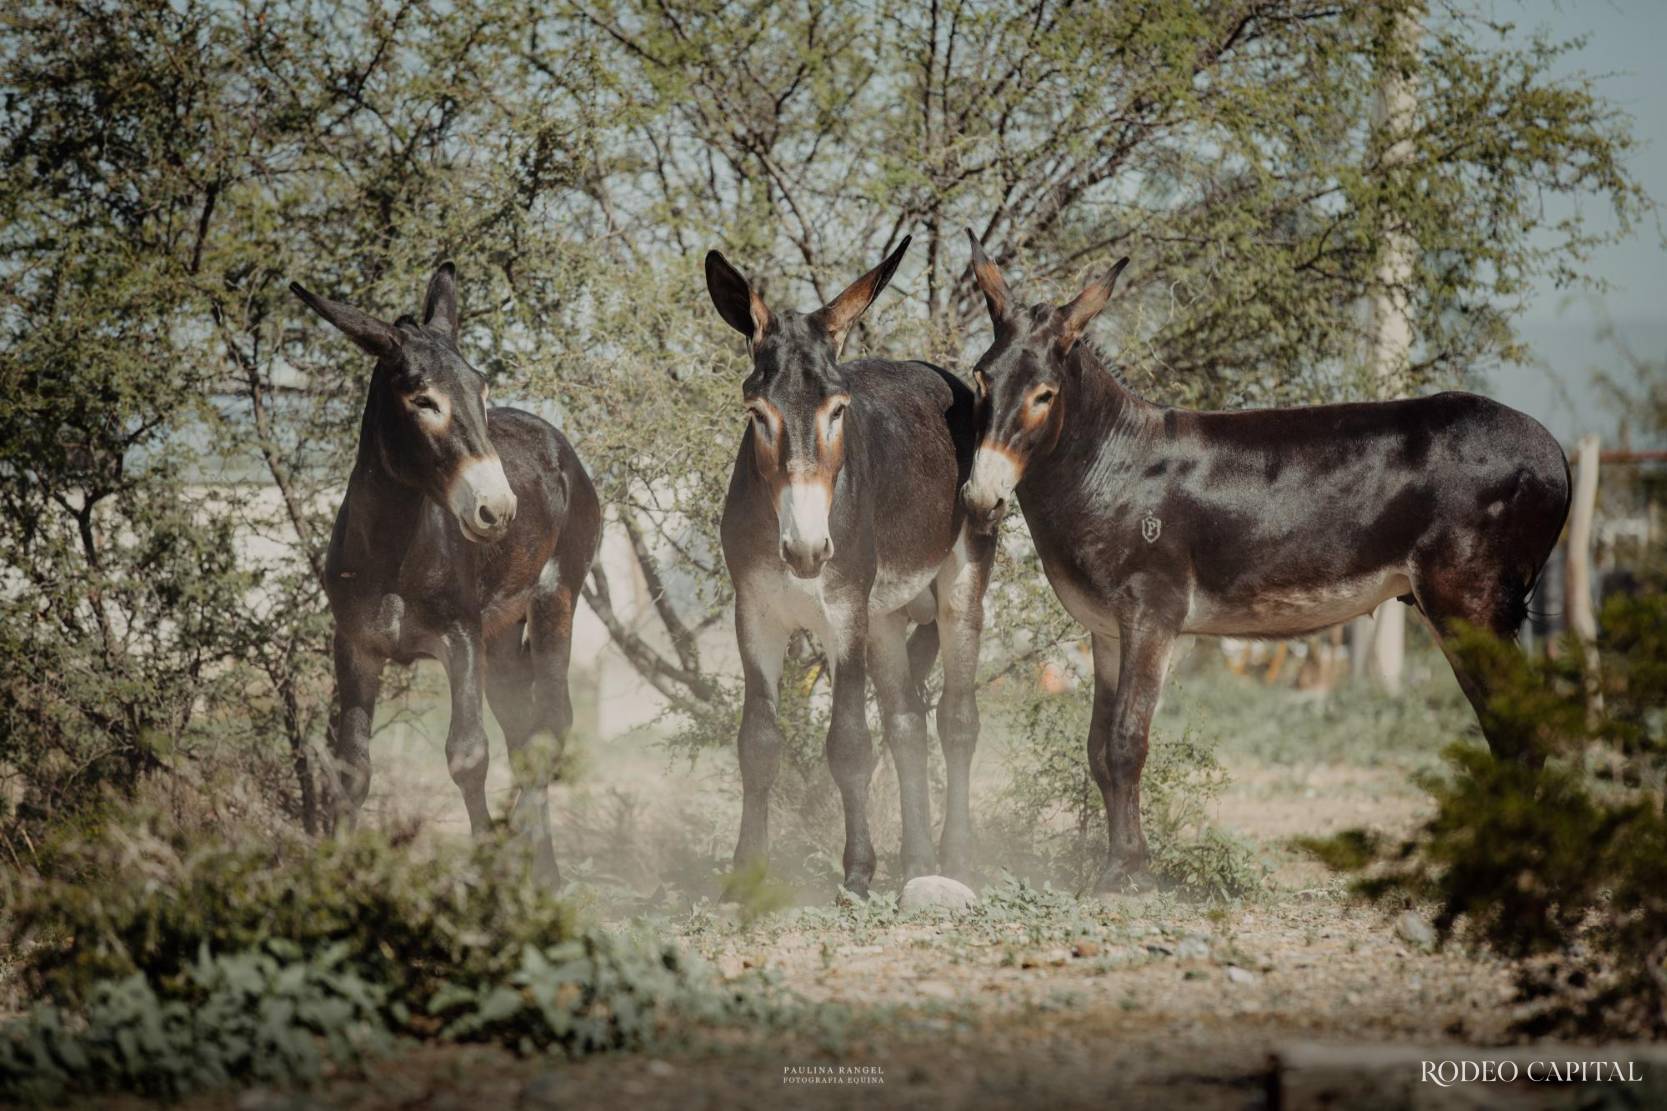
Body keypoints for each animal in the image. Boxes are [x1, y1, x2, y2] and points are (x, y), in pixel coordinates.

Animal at [289, 262, 600, 881]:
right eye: (423, 400)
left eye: (482, 388)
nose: (496, 509)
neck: (392, 553)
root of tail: (558, 440)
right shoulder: (355, 646)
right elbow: (351, 769)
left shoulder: (461, 639)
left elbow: (467, 755)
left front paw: (486, 869)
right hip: (503, 638)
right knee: (525, 734)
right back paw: (541, 873)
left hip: (554, 599)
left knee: (552, 726)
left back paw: (534, 867)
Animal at [706, 237, 995, 896]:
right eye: (756, 412)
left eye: (838, 411)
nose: (808, 551)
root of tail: (940, 373)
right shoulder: (754, 615)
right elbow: (757, 742)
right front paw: (745, 874)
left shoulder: (843, 615)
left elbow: (848, 742)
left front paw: (857, 871)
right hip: (883, 614)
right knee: (907, 722)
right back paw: (917, 861)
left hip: (958, 584)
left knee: (957, 718)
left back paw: (957, 858)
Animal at [957, 230, 1570, 890]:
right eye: (980, 380)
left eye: (1044, 395)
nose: (981, 498)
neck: (1111, 461)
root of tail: (1555, 451)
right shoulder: (1107, 632)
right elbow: (1097, 750)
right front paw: (1119, 864)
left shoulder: (1153, 615)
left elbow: (1125, 744)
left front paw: (1124, 875)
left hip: (1467, 606)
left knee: (1521, 731)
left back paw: (1510, 866)